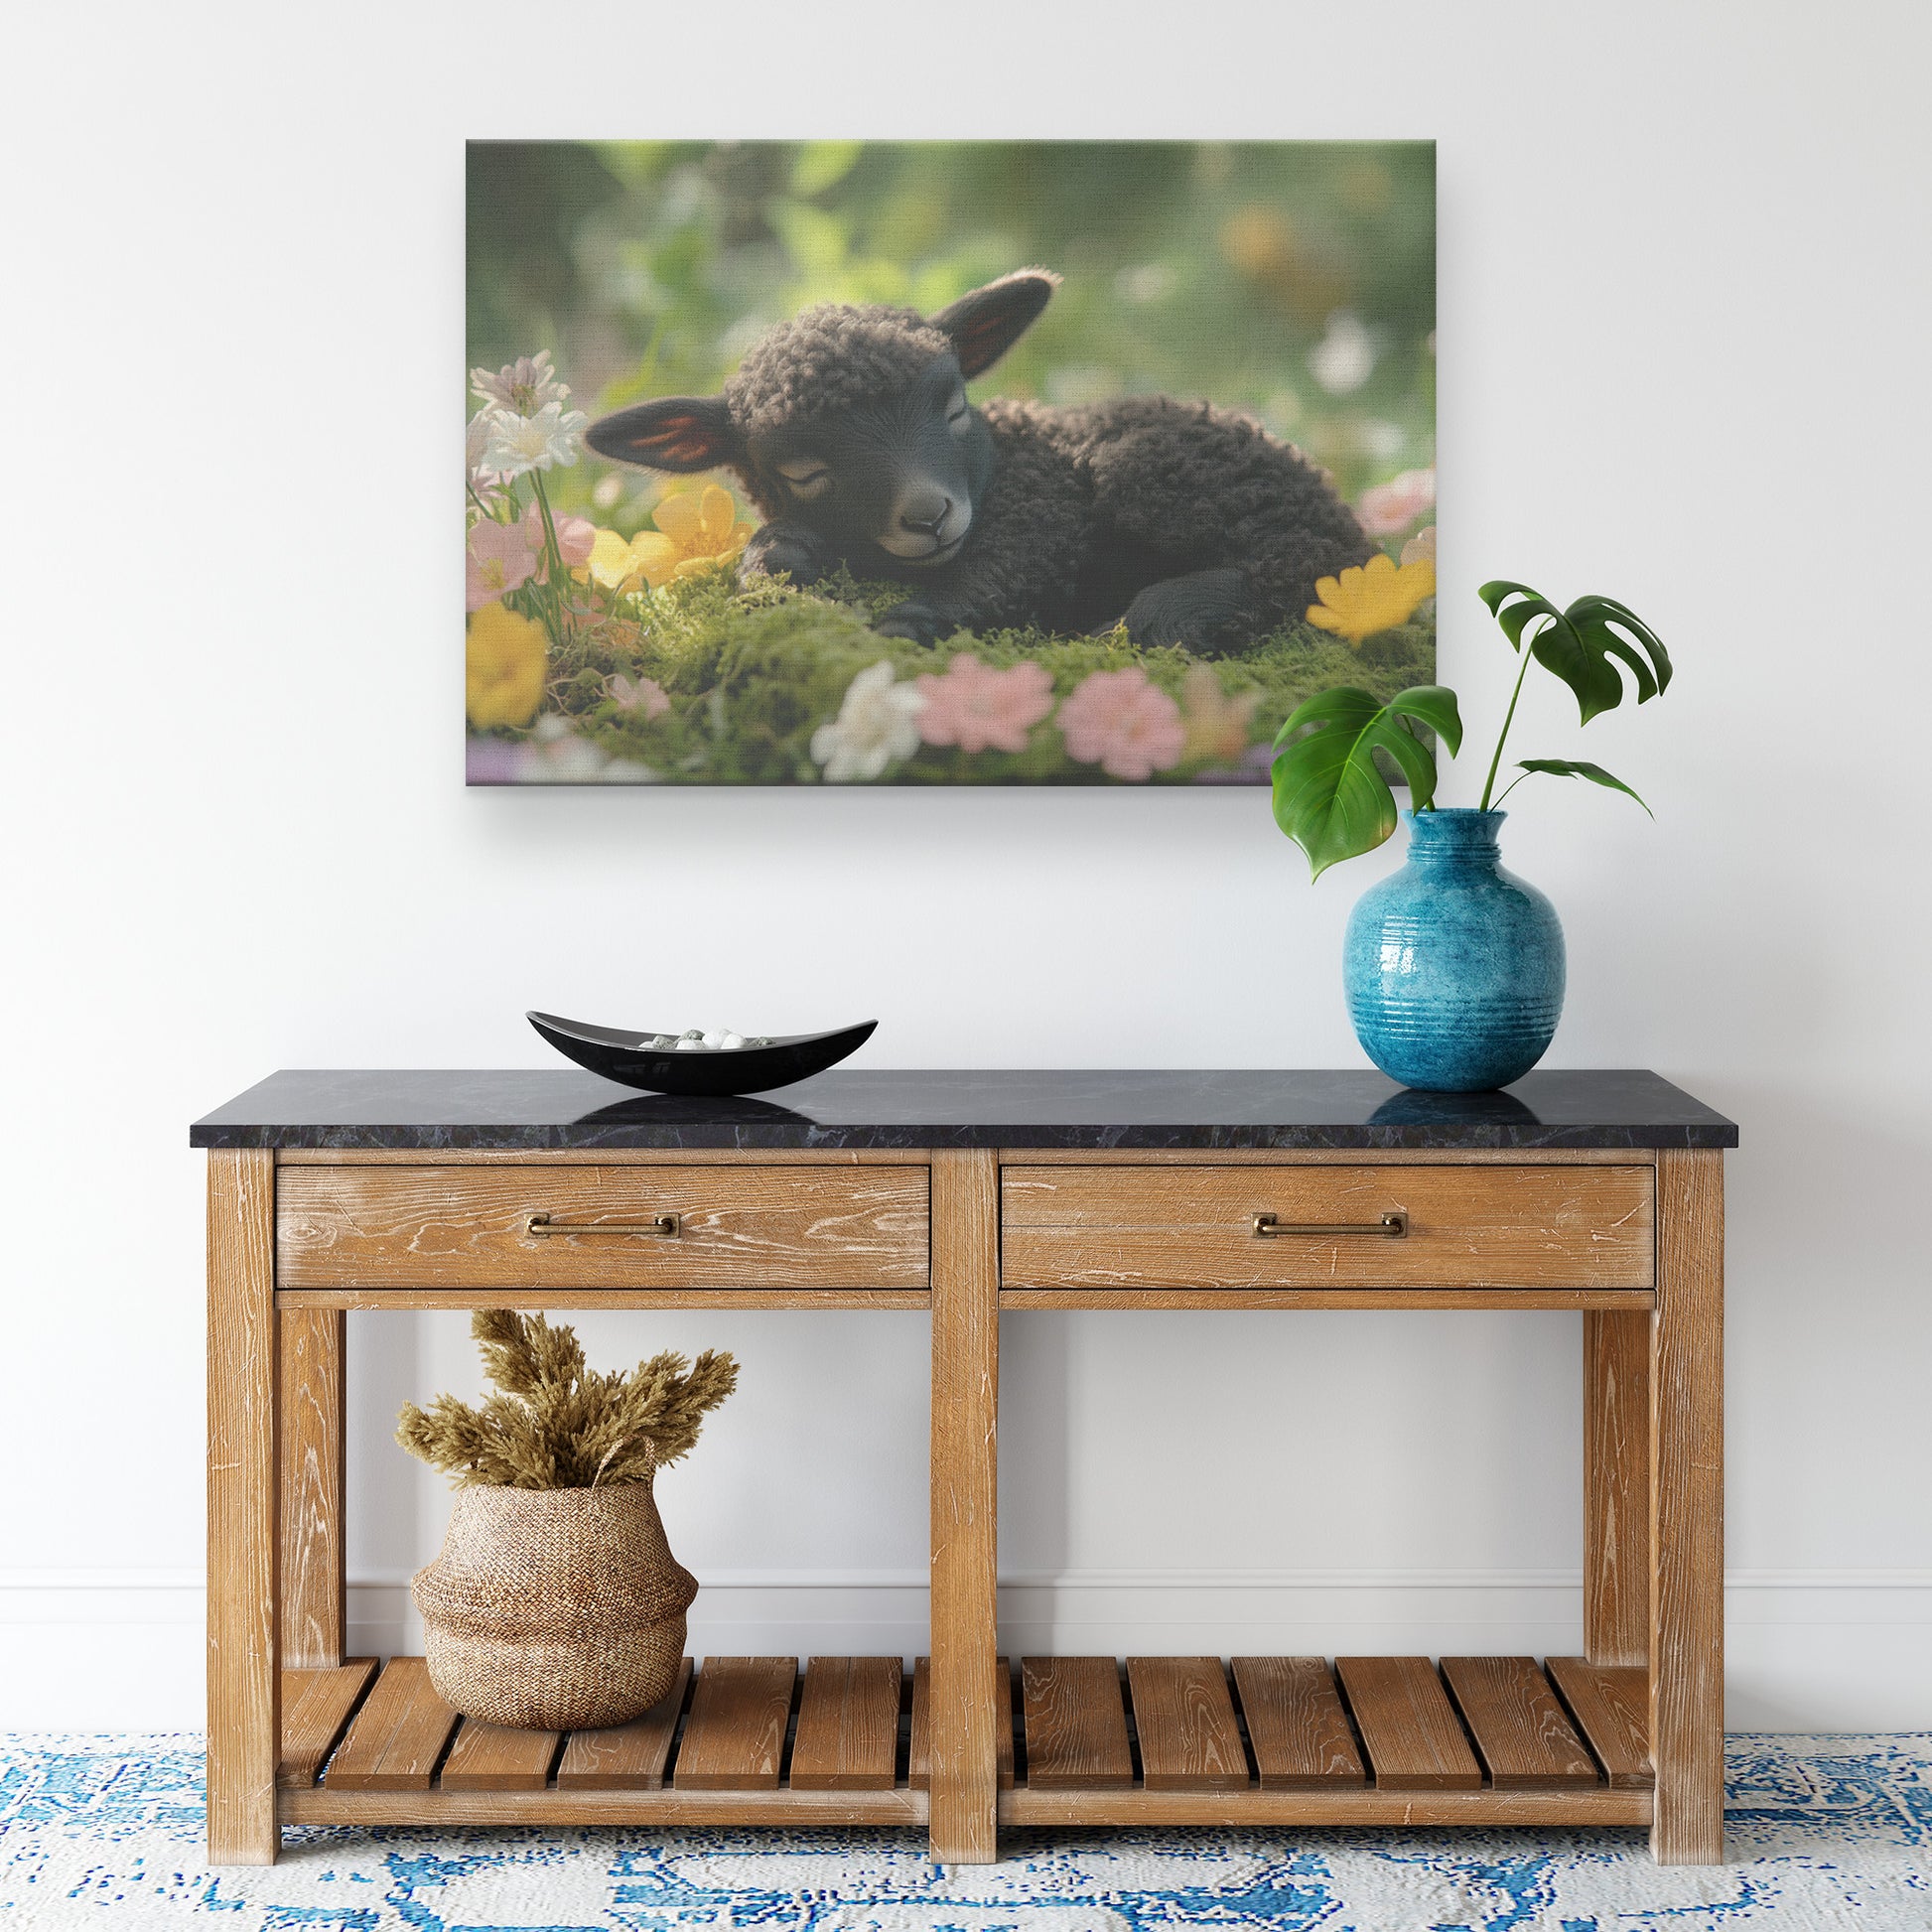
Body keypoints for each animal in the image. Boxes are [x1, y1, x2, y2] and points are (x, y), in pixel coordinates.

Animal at [584, 269, 1377, 653]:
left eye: (954, 408)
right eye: (803, 473)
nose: (929, 515)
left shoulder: (1044, 519)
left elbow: (994, 576)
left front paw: (908, 624)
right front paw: (777, 556)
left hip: (1157, 469)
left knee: (1305, 565)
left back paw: (1161, 615)